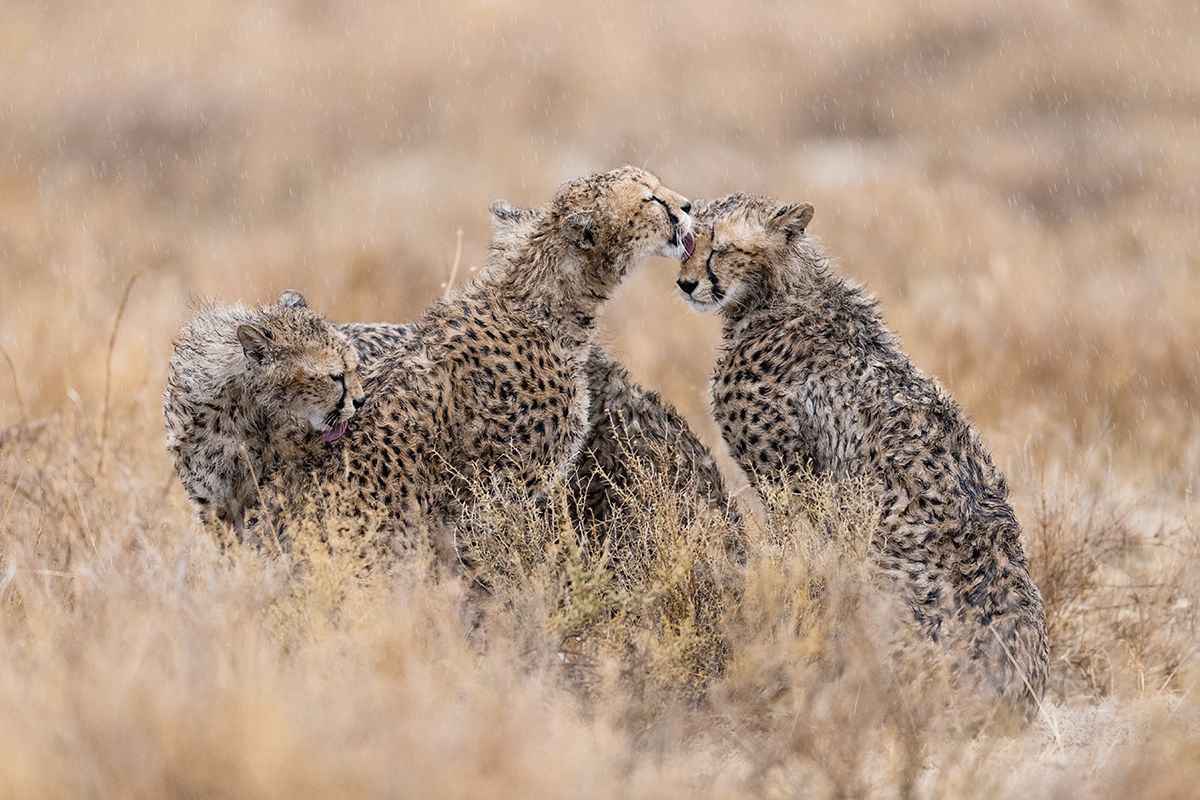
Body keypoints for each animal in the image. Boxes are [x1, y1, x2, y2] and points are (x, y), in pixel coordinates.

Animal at [676, 193, 1049, 723]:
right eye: (686, 241)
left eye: (723, 247)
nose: (686, 284)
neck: (777, 291)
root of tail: (1019, 691)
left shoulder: (789, 483)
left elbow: (784, 559)